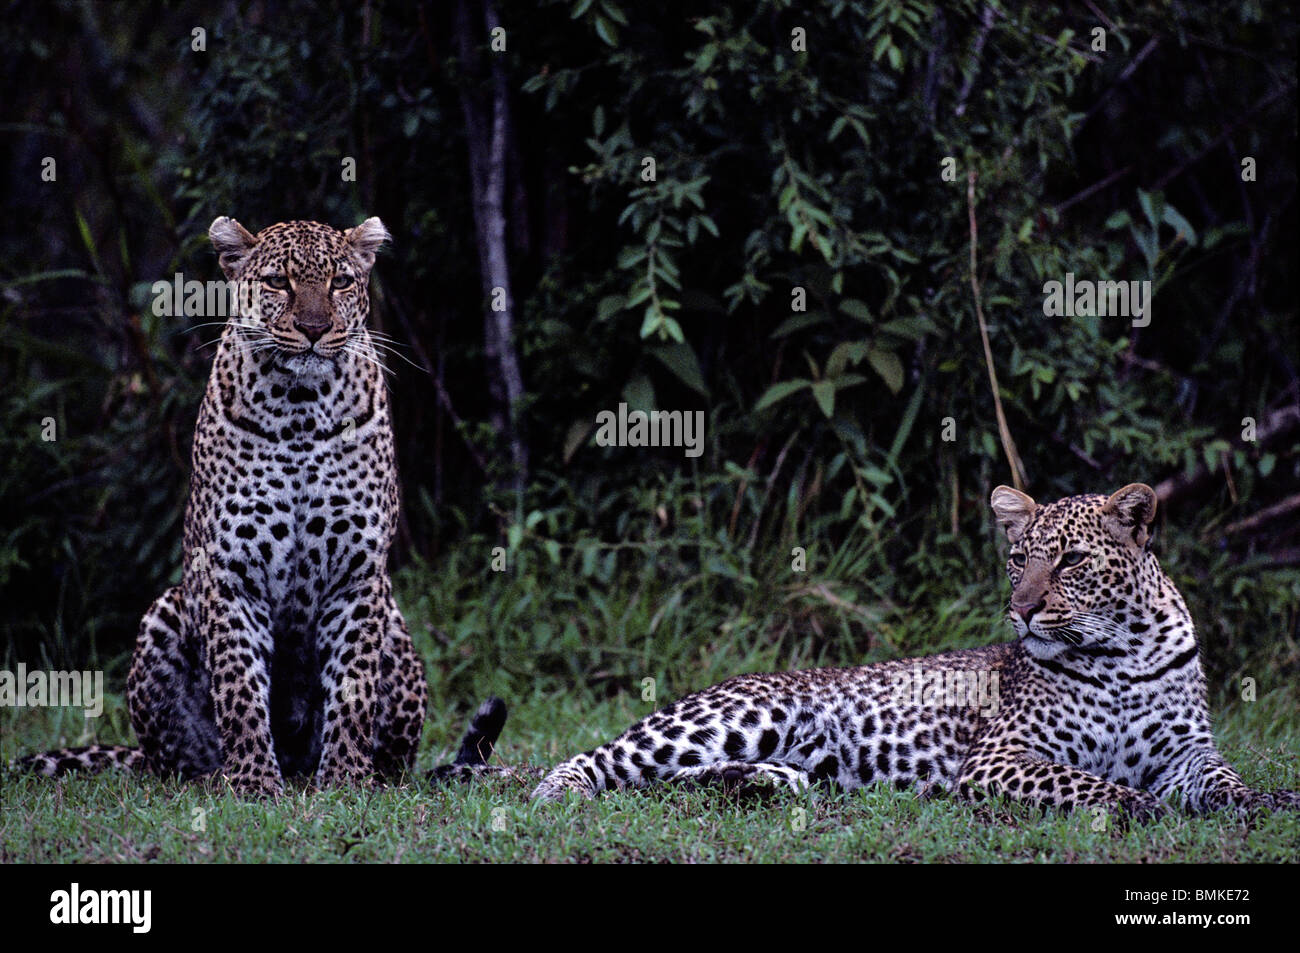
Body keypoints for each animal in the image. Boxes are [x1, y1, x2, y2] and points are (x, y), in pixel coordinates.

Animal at [15, 216, 506, 794]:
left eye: (341, 282)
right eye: (277, 282)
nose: (314, 328)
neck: (300, 409)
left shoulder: (357, 574)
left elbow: (354, 686)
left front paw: (345, 778)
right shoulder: (230, 571)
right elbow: (238, 685)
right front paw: (252, 781)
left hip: (397, 630)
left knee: (394, 756)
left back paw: (370, 776)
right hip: (166, 612)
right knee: (167, 764)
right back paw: (214, 777)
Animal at [532, 483, 1299, 819]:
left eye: (1072, 560)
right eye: (1018, 559)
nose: (1022, 610)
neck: (1120, 653)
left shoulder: (1186, 751)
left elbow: (1224, 779)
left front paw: (1262, 800)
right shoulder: (1001, 756)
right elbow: (1088, 783)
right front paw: (1143, 807)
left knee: (670, 781)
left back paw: (765, 783)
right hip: (739, 716)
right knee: (600, 761)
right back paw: (560, 793)